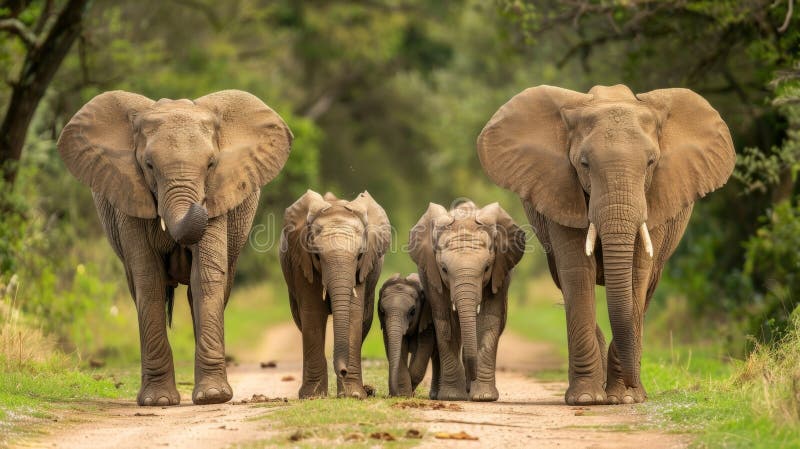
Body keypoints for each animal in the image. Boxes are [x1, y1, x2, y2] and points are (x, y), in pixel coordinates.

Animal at [57, 90, 292, 406]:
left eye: (211, 165)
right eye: (148, 166)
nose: (200, 202)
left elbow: (205, 277)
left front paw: (213, 397)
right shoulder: (128, 200)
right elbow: (149, 281)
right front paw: (158, 402)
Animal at [280, 190, 391, 399]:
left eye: (359, 255)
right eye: (317, 255)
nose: (343, 370)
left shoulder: (363, 269)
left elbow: (353, 313)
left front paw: (353, 395)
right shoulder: (302, 264)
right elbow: (313, 314)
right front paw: (313, 396)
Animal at [409, 201, 525, 401]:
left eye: (487, 268)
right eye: (444, 269)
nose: (471, 377)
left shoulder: (500, 273)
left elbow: (488, 320)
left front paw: (484, 396)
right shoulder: (433, 278)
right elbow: (445, 323)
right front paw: (452, 397)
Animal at [477, 84, 735, 405]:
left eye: (651, 163)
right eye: (584, 164)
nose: (633, 387)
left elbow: (637, 274)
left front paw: (623, 398)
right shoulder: (562, 191)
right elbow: (577, 273)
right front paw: (587, 398)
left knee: (648, 289)